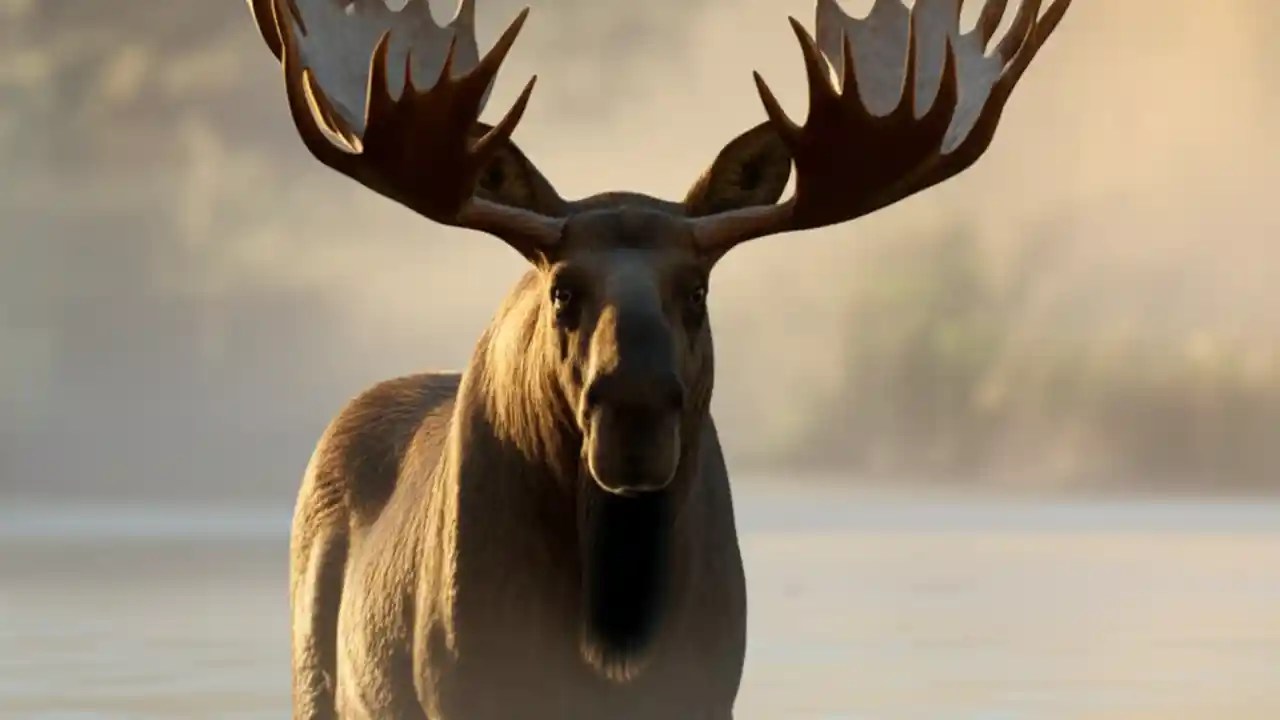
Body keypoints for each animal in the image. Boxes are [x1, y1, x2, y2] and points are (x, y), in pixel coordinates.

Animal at [246, 0, 1072, 716]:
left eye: (699, 288)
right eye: (562, 291)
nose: (635, 419)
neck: (612, 638)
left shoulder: (704, 691)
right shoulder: (464, 682)